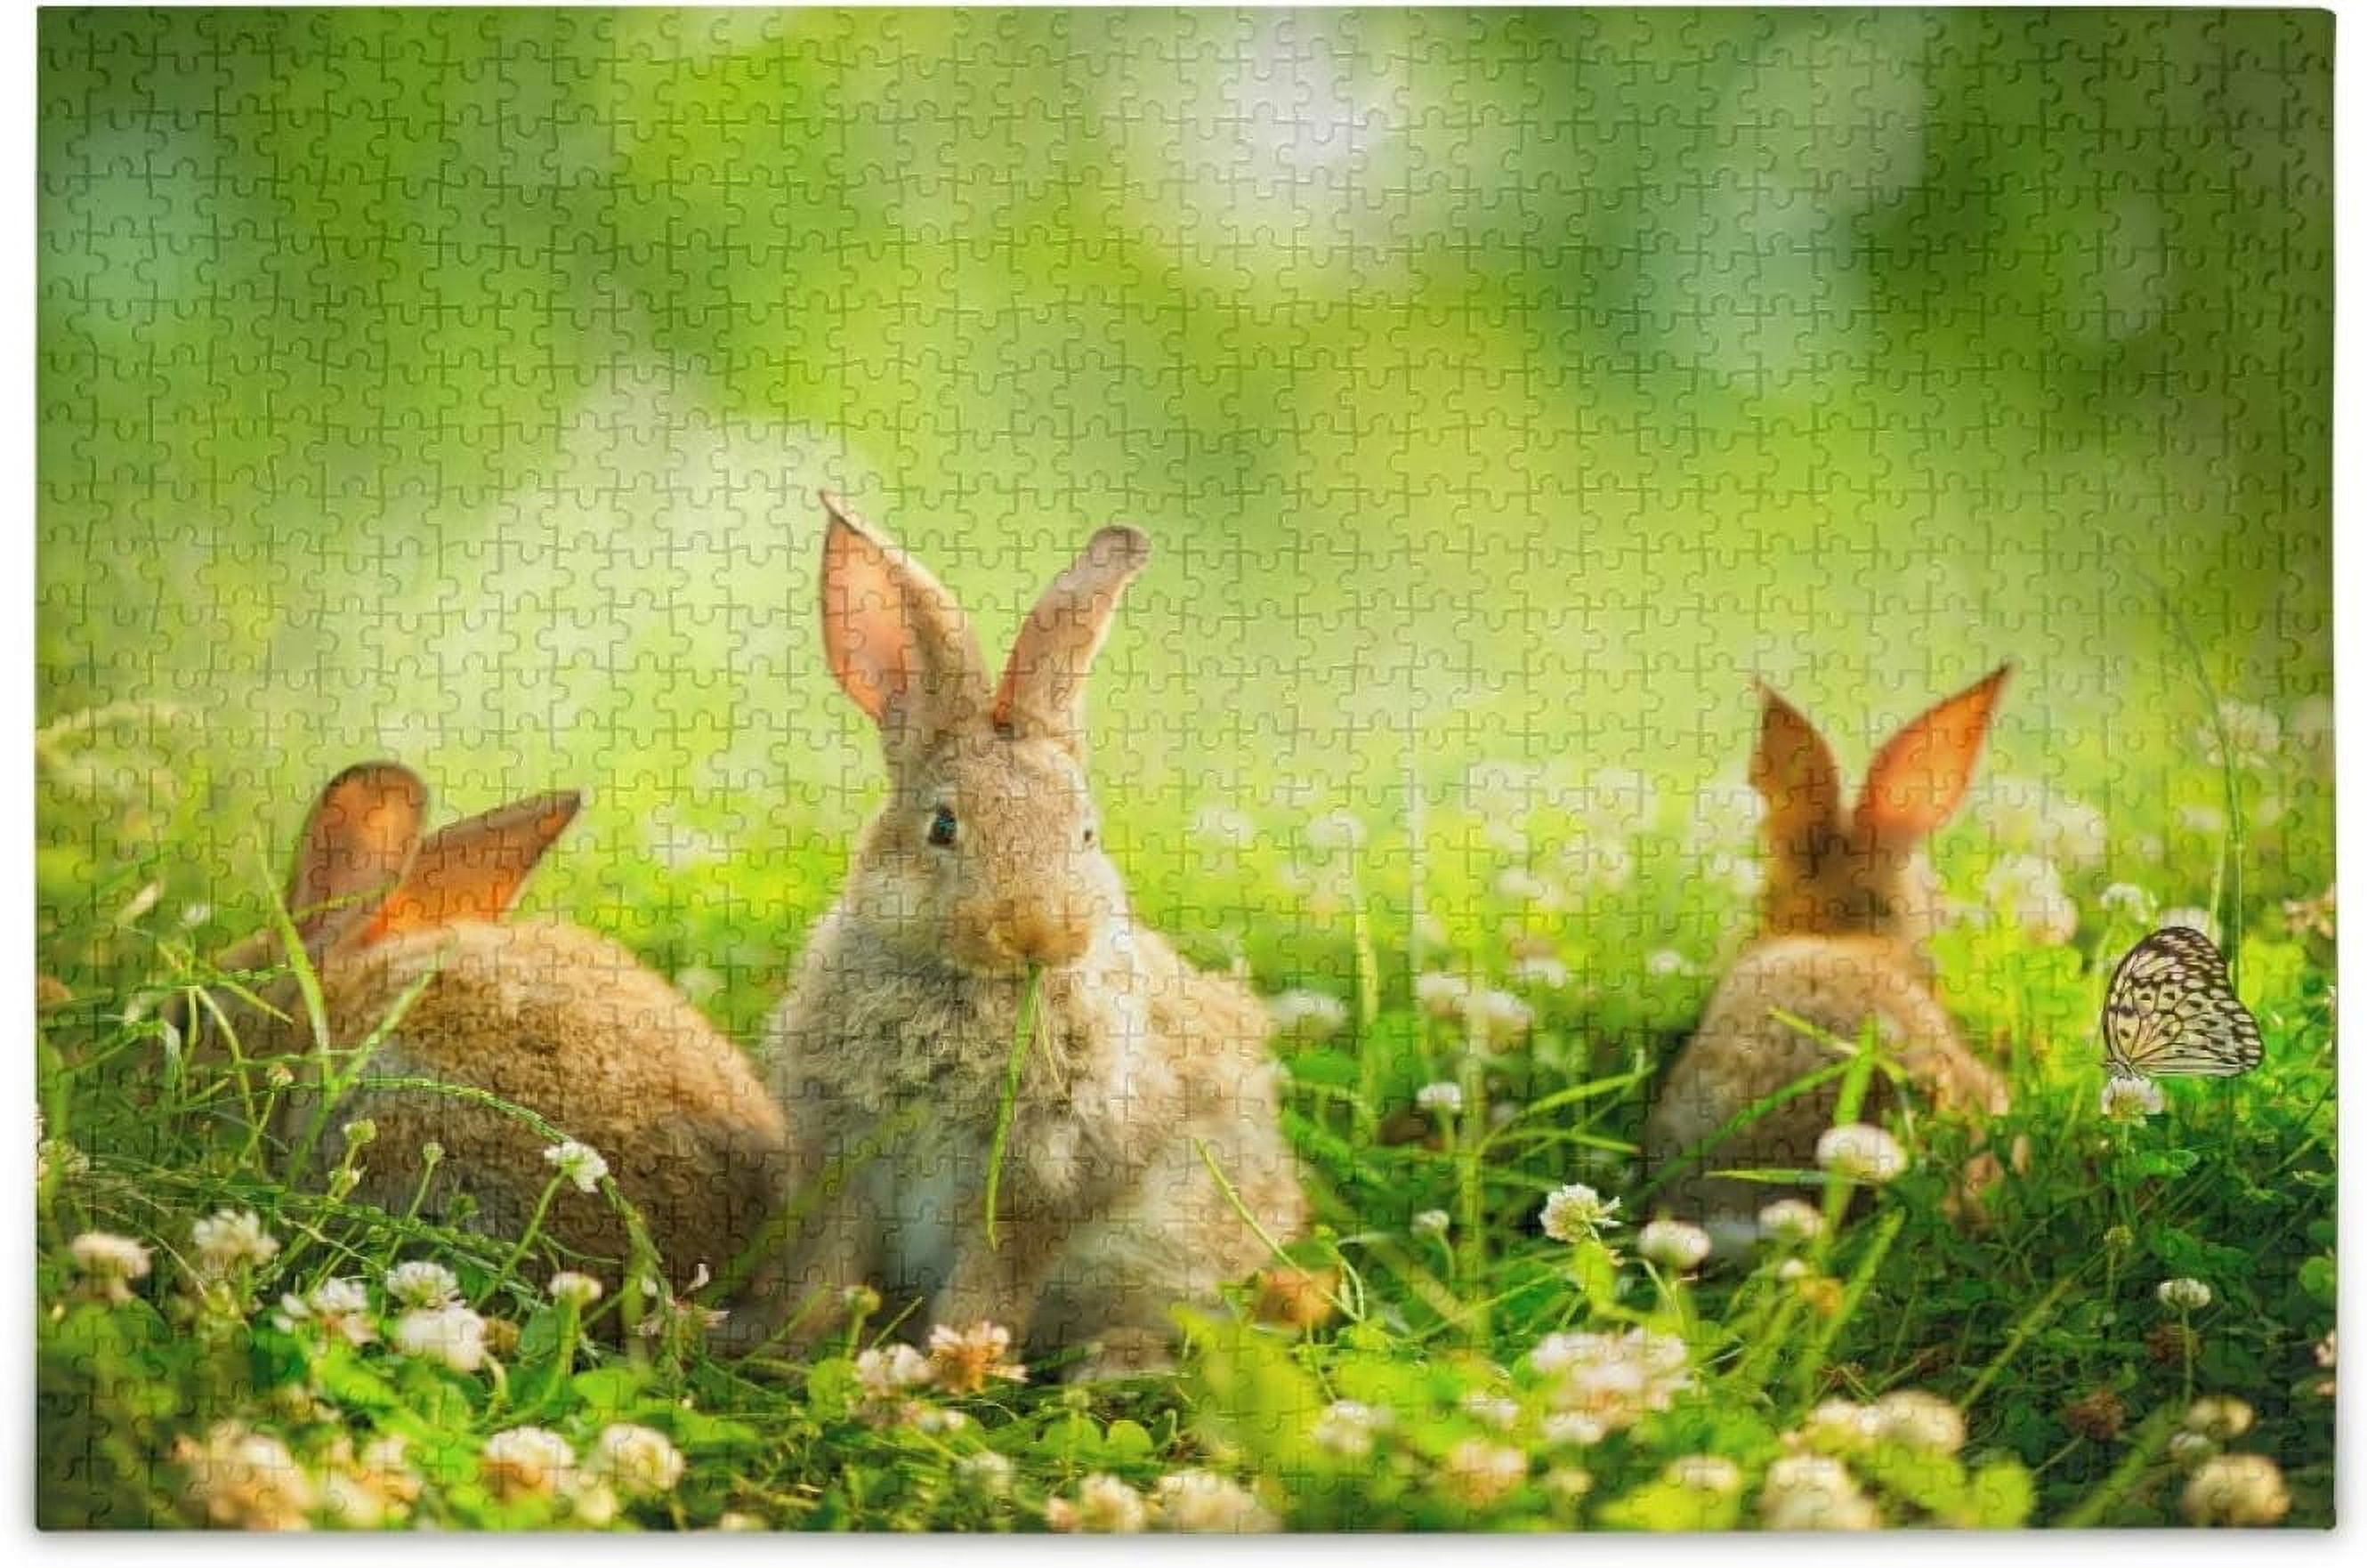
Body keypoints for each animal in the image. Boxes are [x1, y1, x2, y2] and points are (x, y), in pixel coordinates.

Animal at [737, 492, 1306, 1378]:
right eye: (943, 827)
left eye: (1085, 834)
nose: (1039, 929)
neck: (976, 987)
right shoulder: (841, 1154)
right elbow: (825, 1272)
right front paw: (788, 1348)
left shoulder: (1040, 1182)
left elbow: (988, 1286)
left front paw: (954, 1368)